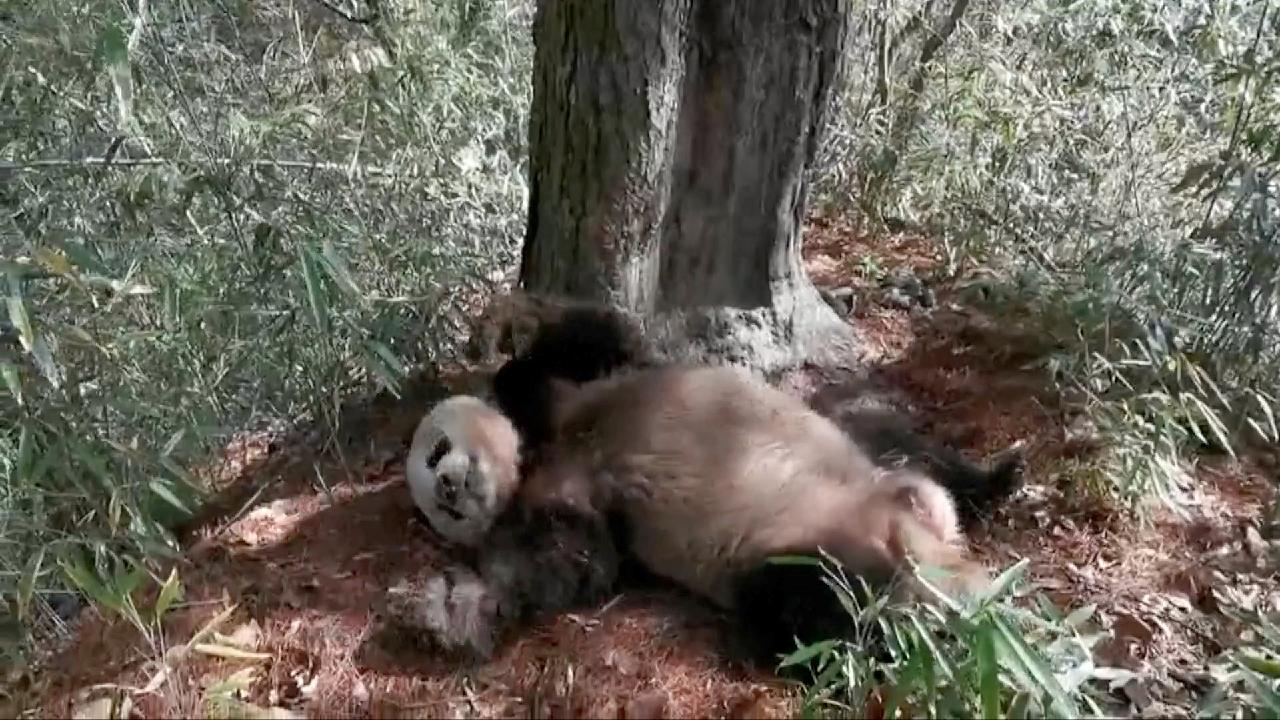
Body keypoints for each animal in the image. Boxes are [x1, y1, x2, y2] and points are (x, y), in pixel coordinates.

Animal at [392, 301, 1024, 668]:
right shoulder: (566, 493)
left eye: (437, 450)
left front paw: (509, 324)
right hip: (805, 554)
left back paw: (998, 479)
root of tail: (923, 544)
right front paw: (445, 612)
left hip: (873, 469)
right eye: (437, 506)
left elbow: (595, 339)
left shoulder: (587, 383)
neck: (540, 442)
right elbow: (567, 562)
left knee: (893, 440)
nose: (448, 487)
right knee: (805, 602)